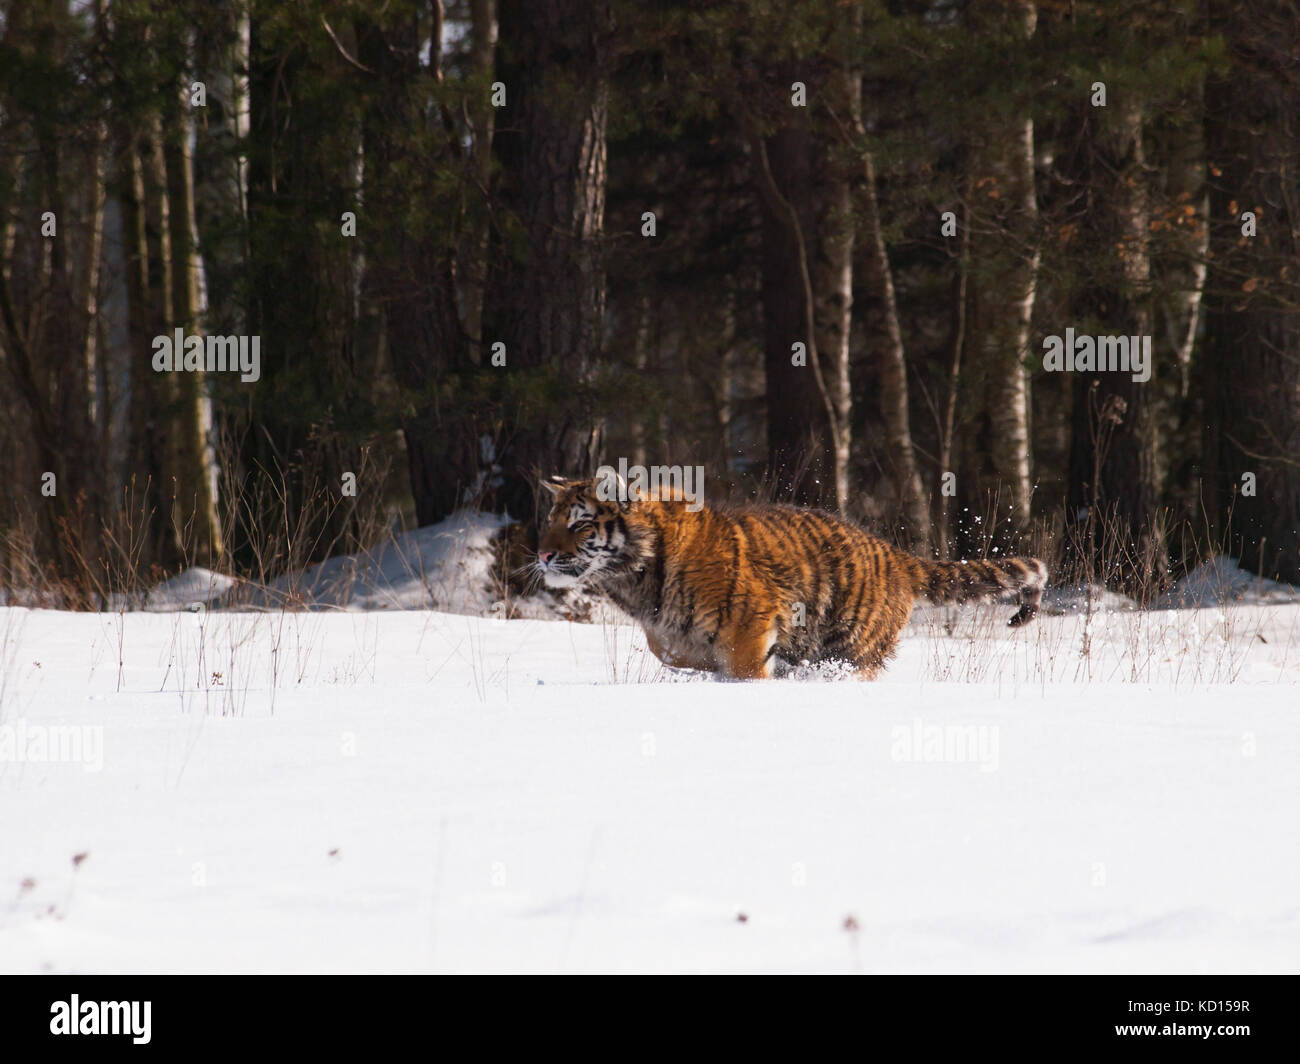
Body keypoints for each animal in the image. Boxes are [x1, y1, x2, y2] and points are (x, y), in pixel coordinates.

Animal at [535, 473, 1047, 680]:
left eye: (579, 524)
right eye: (550, 518)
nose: (540, 553)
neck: (636, 575)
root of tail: (895, 555)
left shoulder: (751, 621)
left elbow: (742, 667)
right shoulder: (666, 630)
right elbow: (670, 651)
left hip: (852, 647)